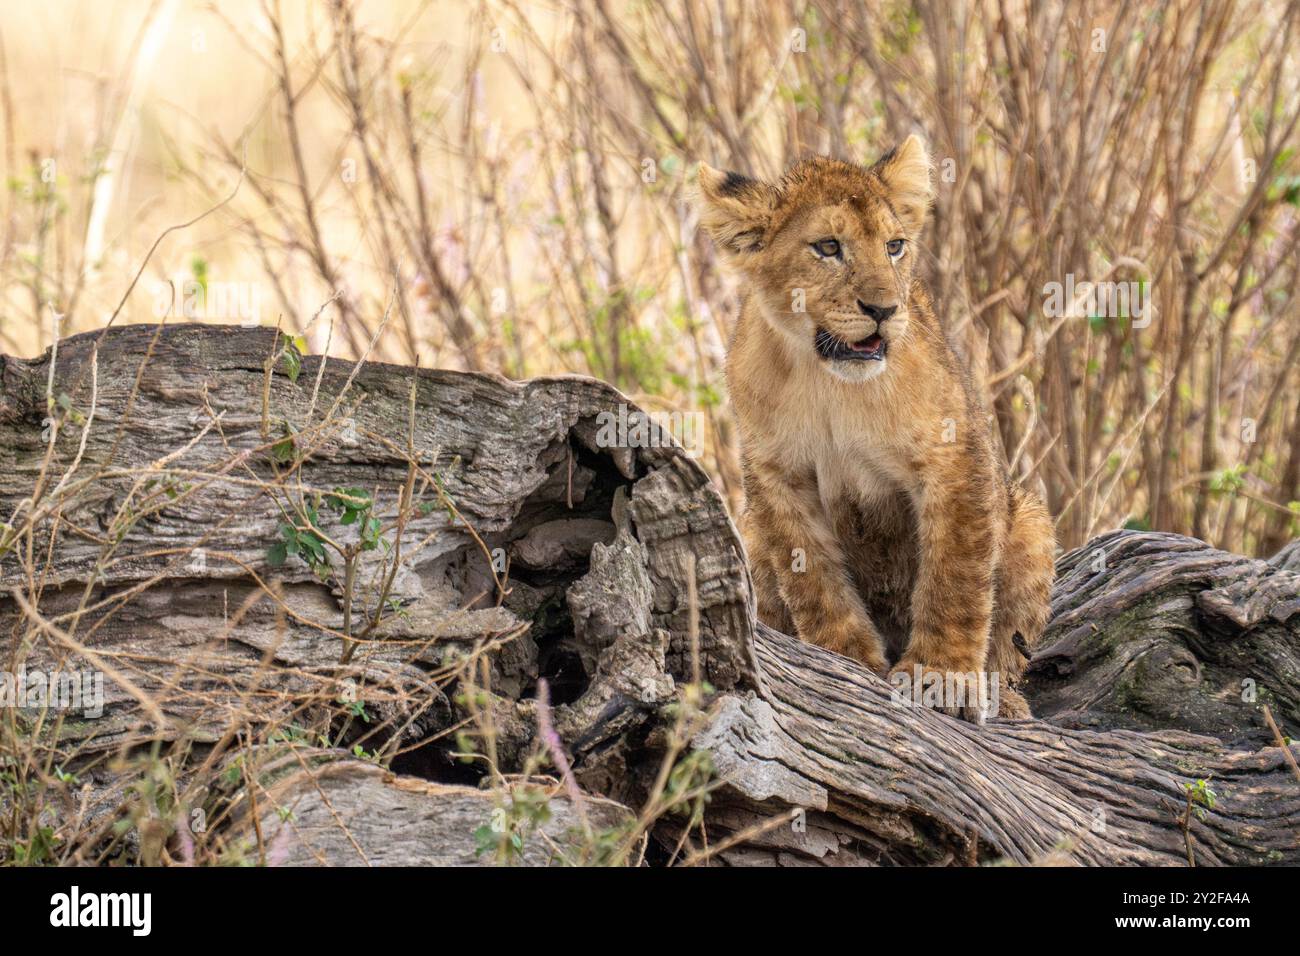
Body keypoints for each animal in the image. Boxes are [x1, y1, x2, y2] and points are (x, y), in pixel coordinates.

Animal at [697, 135, 1055, 720]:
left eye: (894, 246)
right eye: (827, 247)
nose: (883, 309)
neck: (831, 383)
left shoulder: (954, 457)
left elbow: (955, 577)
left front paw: (943, 676)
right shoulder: (778, 473)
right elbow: (814, 580)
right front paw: (849, 661)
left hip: (1029, 521)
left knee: (1009, 642)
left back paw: (1003, 698)